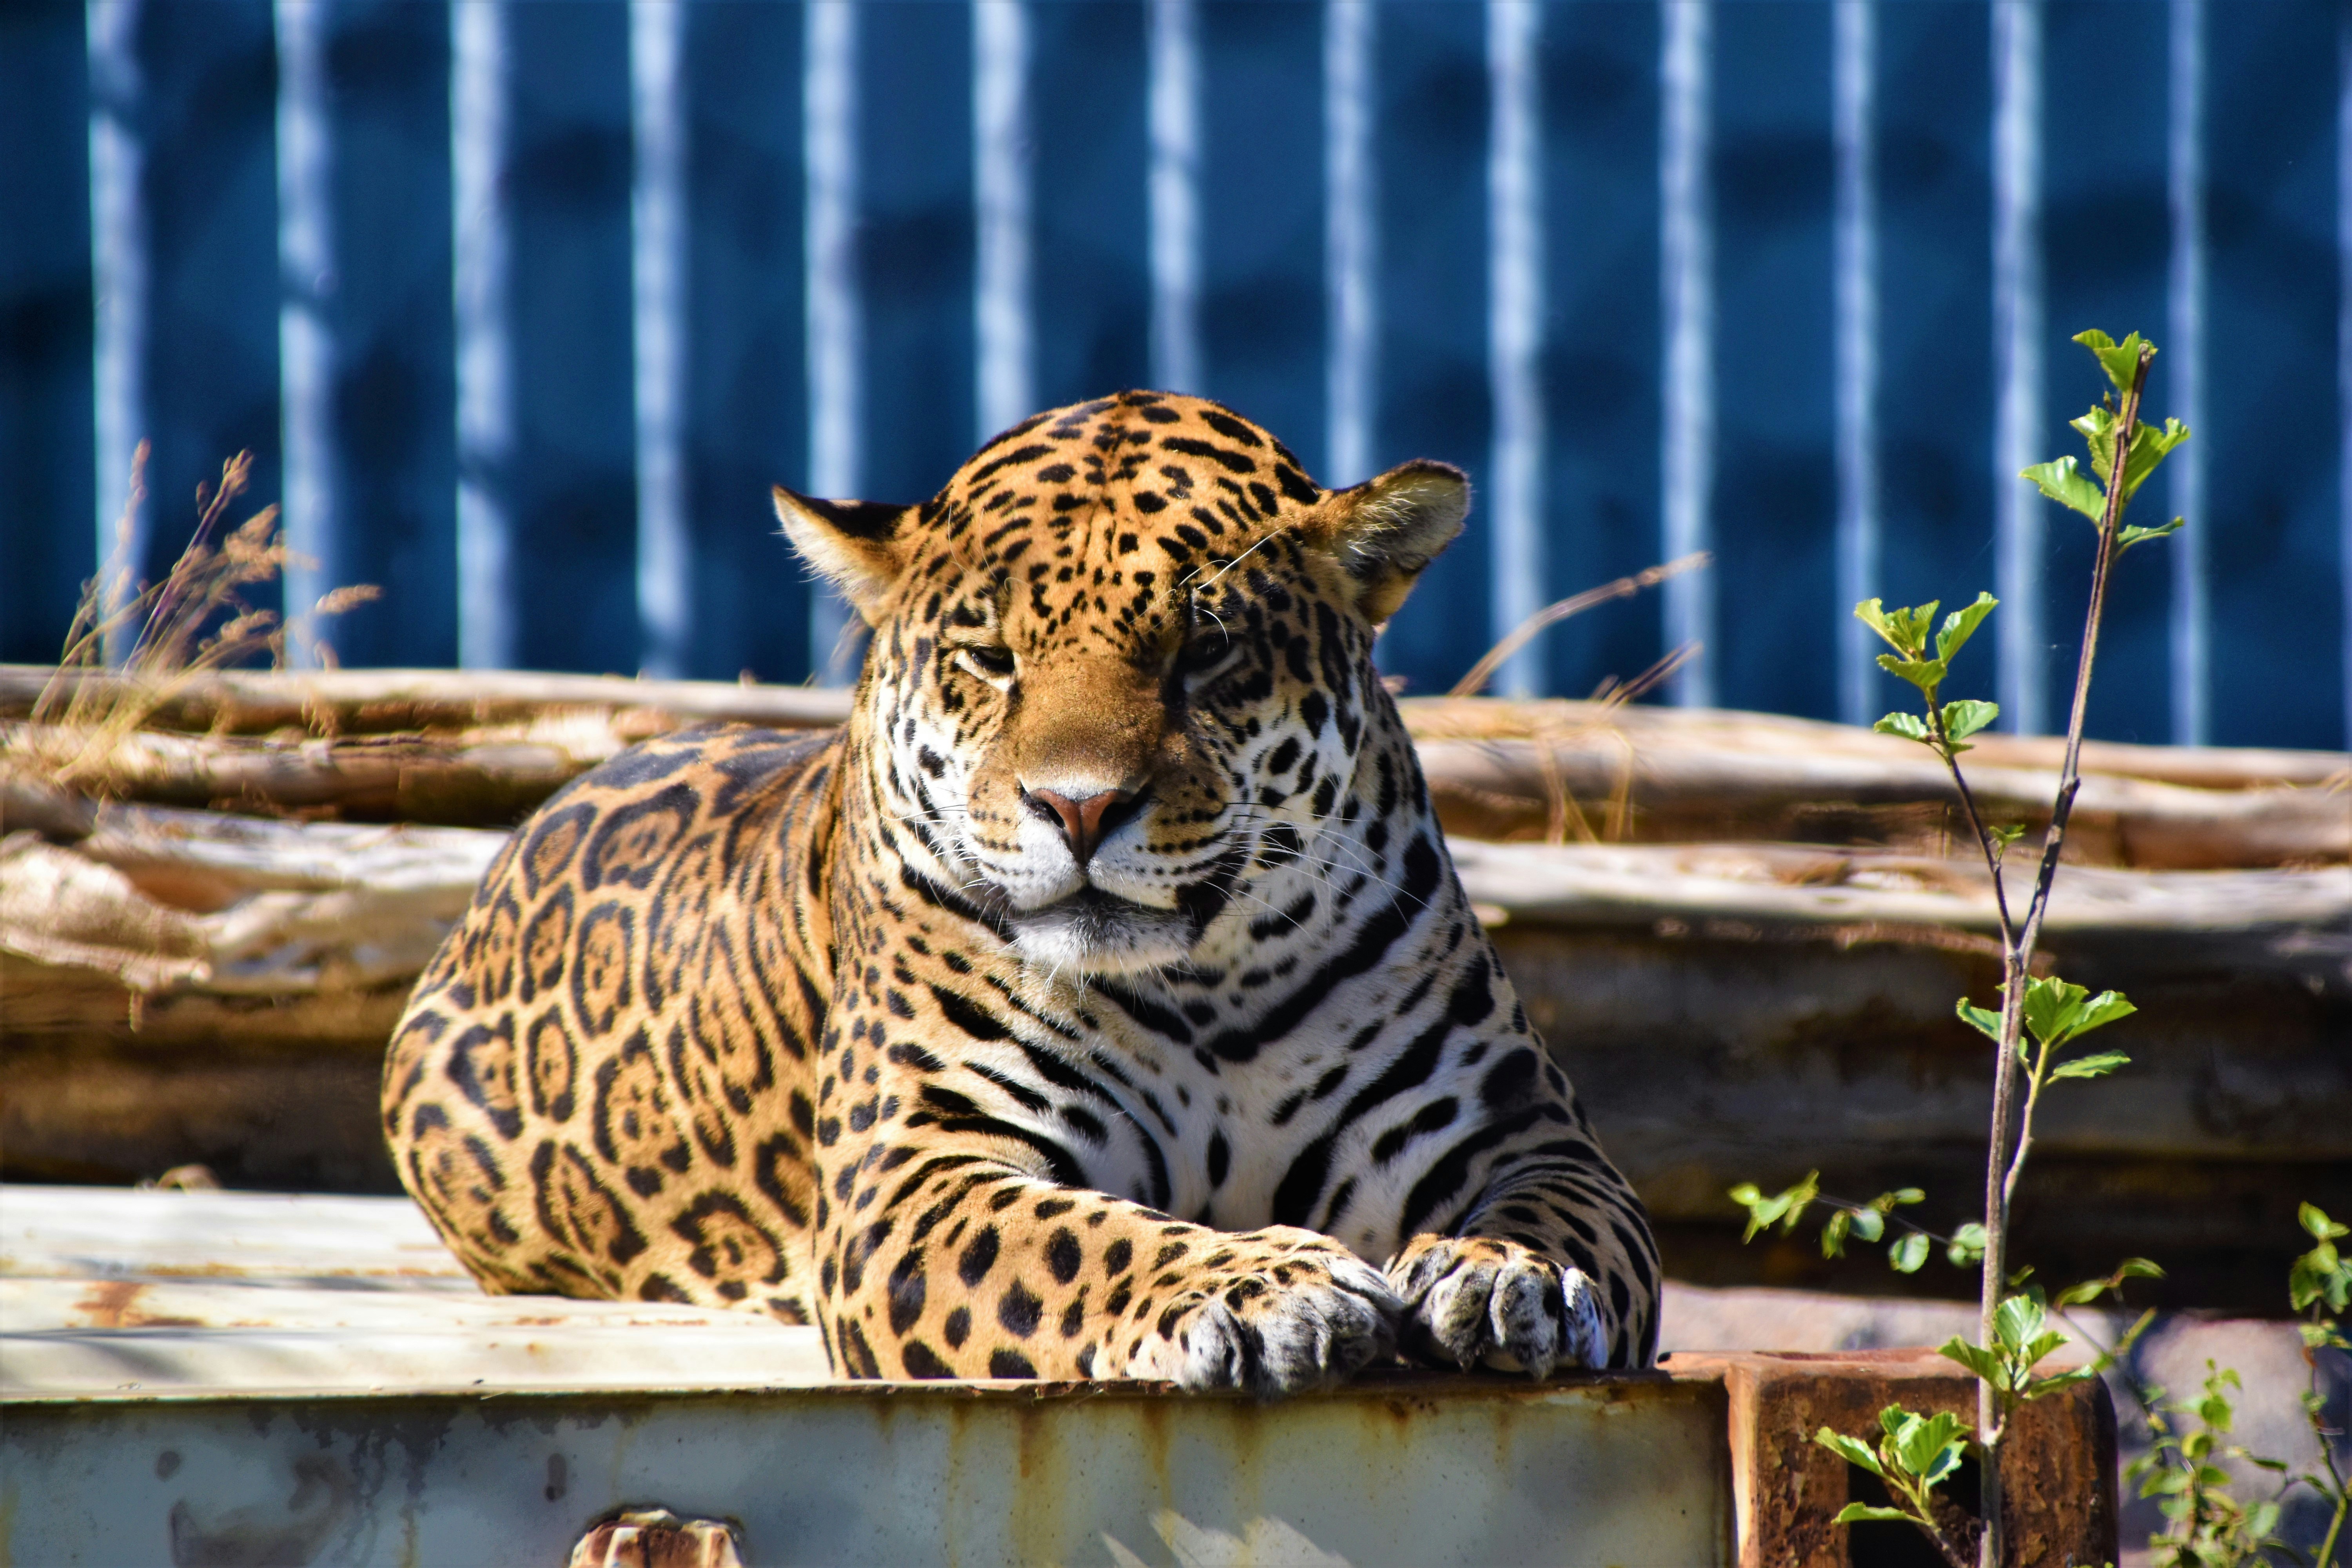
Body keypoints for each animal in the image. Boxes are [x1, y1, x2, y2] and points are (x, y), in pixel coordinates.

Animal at [383, 390, 1661, 1394]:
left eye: (1206, 651)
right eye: (989, 659)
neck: (1213, 985)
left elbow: (1576, 1217)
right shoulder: (917, 1167)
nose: (1080, 807)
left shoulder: (1523, 1129)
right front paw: (1267, 1279)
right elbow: (1083, 1240)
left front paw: (1512, 1275)